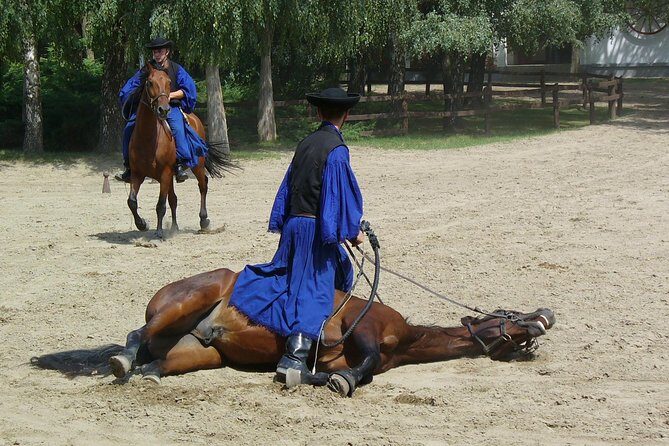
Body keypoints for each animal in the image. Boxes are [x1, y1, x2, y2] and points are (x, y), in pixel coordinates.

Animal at [92, 268, 555, 397]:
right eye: (509, 314)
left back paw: (147, 373)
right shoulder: (361, 326)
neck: (406, 337)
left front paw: (305, 374)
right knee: (135, 333)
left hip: (197, 351)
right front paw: (334, 380)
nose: (546, 315)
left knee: (156, 361)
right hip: (187, 300)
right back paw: (122, 360)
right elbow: (362, 368)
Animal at [127, 62, 235, 238]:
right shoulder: (137, 173)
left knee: (203, 185)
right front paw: (142, 224)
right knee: (174, 199)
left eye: (169, 83)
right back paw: (174, 227)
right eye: (149, 82)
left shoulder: (164, 173)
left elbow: (160, 205)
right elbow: (132, 202)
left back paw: (203, 220)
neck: (148, 138)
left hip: (196, 165)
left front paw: (158, 232)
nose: (163, 110)